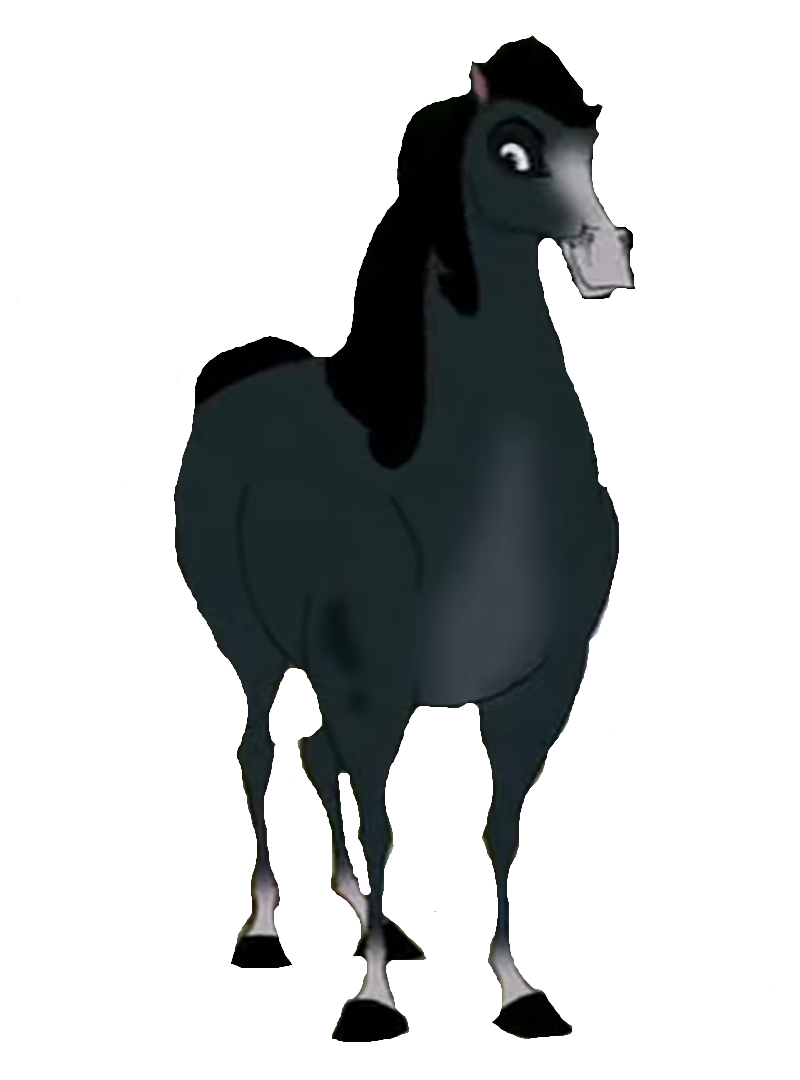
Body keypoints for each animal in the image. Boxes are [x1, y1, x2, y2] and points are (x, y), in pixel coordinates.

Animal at [175, 36, 631, 1041]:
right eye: (513, 150)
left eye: (589, 143)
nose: (607, 256)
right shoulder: (370, 684)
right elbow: (384, 820)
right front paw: (376, 1002)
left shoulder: (541, 692)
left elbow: (501, 828)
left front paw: (518, 989)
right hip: (251, 645)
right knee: (261, 752)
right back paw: (265, 932)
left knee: (319, 756)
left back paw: (372, 924)